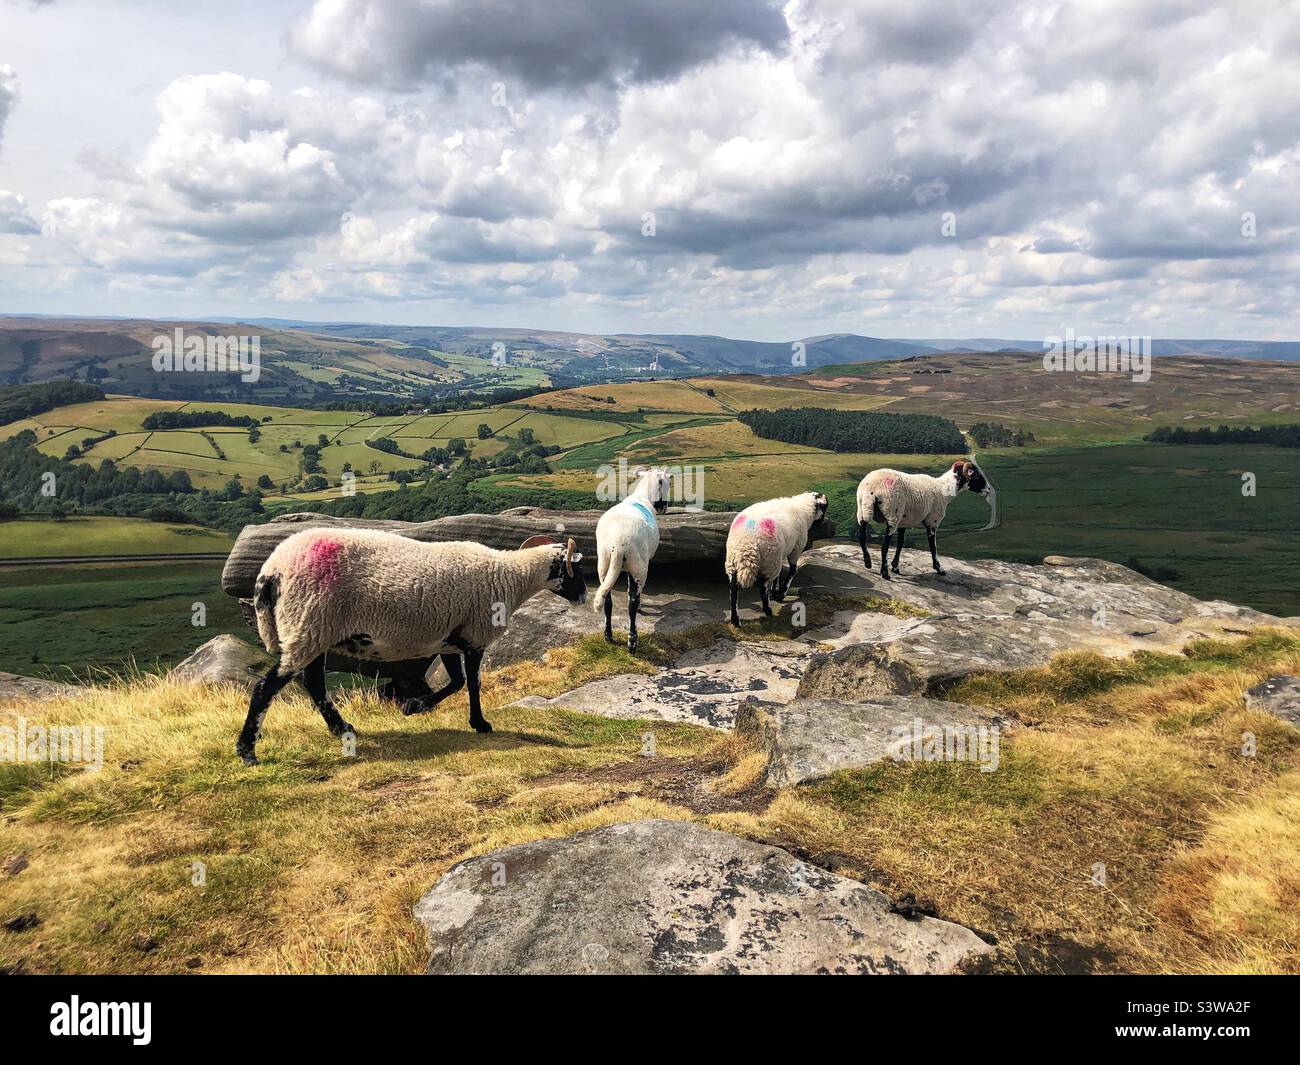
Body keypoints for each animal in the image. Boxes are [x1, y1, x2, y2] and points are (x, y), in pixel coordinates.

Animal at [235, 530, 586, 765]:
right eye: (577, 570)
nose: (584, 597)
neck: (512, 576)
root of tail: (270, 571)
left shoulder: (449, 639)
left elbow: (457, 682)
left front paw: (415, 706)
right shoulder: (474, 635)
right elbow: (472, 684)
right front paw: (481, 724)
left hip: (312, 631)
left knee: (313, 682)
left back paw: (341, 727)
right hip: (308, 624)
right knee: (267, 687)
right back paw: (247, 751)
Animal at [592, 466, 673, 653]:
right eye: (667, 482)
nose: (664, 508)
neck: (643, 496)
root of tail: (617, 543)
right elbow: (631, 592)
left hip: (604, 564)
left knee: (607, 601)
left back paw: (608, 636)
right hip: (639, 566)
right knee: (632, 605)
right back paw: (632, 642)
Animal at [724, 491, 828, 626]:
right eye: (824, 507)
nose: (822, 521)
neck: (803, 510)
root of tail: (747, 541)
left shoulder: (781, 555)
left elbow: (778, 576)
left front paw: (776, 591)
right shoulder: (796, 549)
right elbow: (793, 570)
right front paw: (781, 593)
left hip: (734, 560)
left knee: (733, 589)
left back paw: (735, 620)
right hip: (770, 559)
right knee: (763, 588)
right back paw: (767, 610)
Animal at [855, 460, 989, 580]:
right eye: (977, 475)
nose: (988, 490)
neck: (943, 490)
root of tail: (872, 489)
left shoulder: (904, 522)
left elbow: (900, 543)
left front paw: (896, 567)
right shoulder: (932, 522)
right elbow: (933, 547)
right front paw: (939, 569)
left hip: (862, 511)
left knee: (861, 536)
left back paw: (868, 562)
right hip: (892, 513)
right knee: (884, 545)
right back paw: (884, 573)